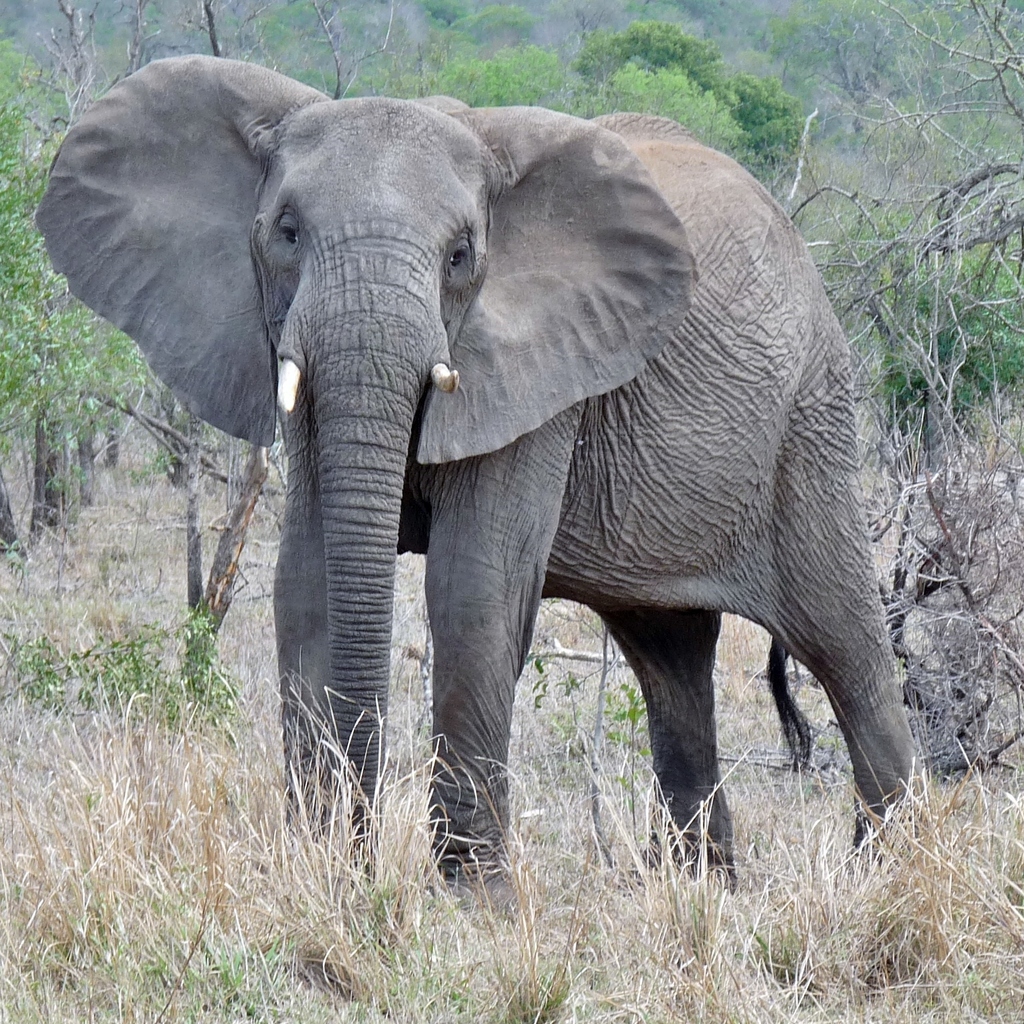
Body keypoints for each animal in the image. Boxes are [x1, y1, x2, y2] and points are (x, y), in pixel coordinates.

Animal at [36, 55, 915, 884]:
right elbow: (308, 584)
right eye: (285, 232)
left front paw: (473, 901)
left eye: (461, 256)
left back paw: (884, 878)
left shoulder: (544, 365)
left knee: (847, 648)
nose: (363, 857)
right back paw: (704, 892)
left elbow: (472, 594)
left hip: (811, 420)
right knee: (672, 663)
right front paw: (318, 876)